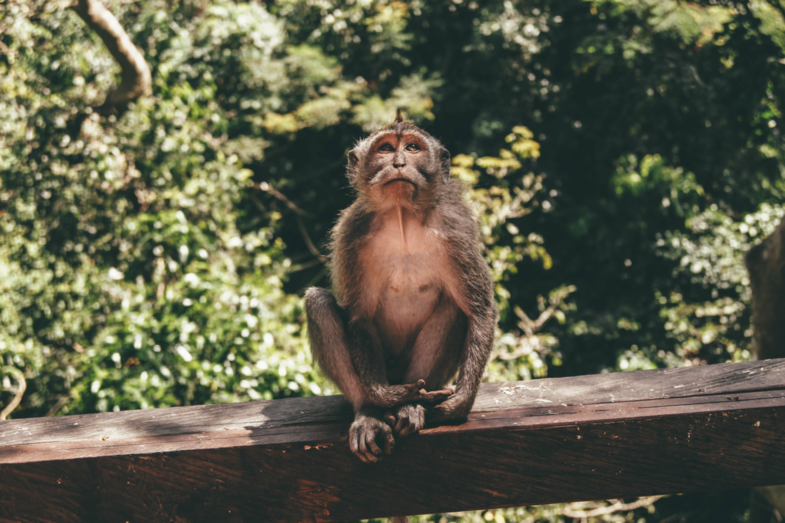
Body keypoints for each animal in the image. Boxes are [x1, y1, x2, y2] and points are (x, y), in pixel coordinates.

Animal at [305, 112, 497, 463]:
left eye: (412, 147)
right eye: (384, 149)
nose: (398, 163)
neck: (402, 216)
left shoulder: (455, 230)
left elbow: (479, 309)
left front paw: (459, 403)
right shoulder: (351, 234)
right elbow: (359, 318)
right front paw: (383, 397)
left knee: (454, 308)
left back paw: (411, 406)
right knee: (318, 303)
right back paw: (373, 410)